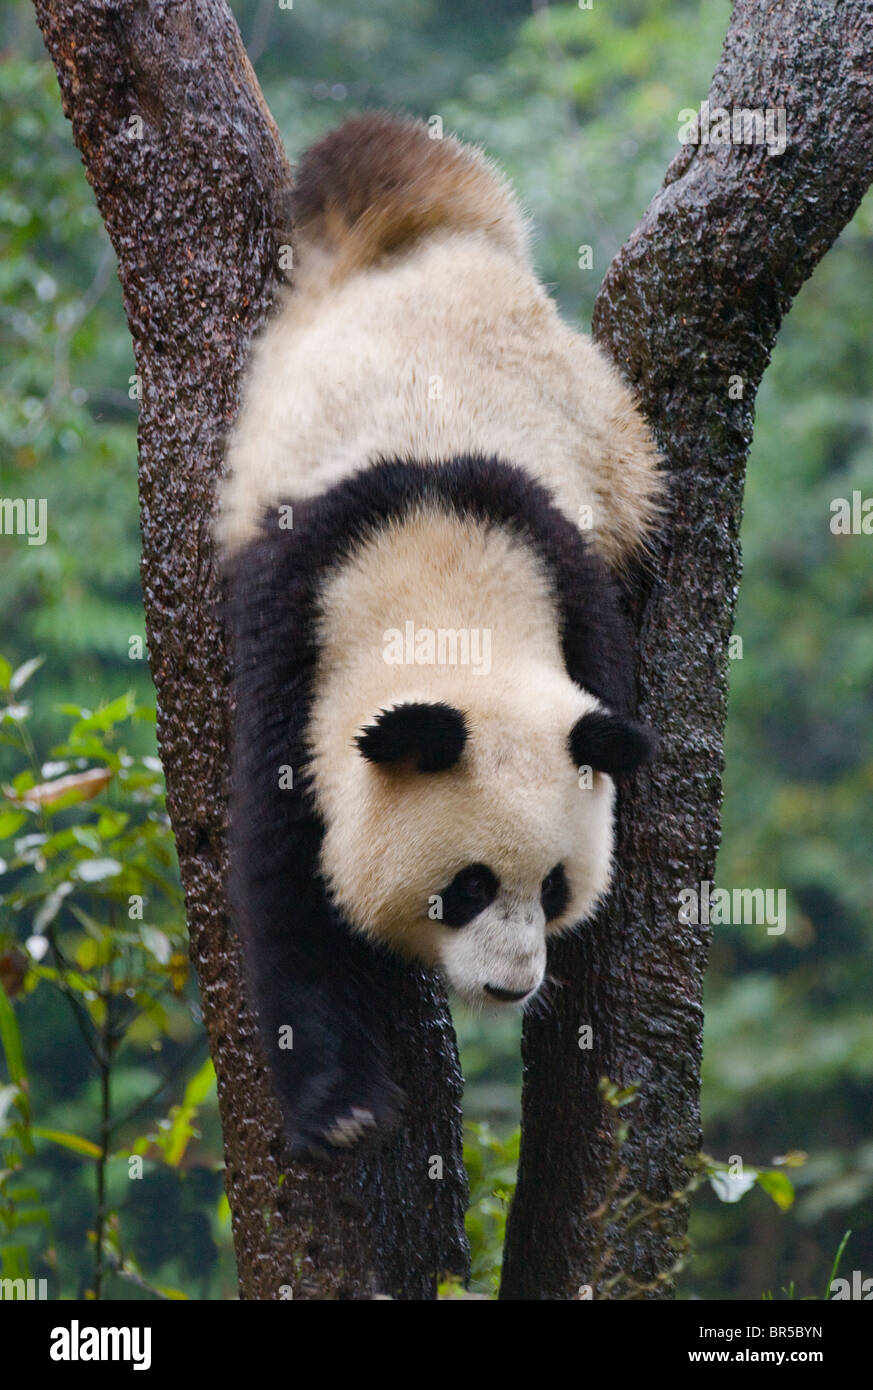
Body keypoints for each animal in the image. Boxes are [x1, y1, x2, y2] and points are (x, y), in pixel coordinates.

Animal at [218, 113, 662, 1155]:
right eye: (465, 886)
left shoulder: (570, 582)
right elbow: (284, 877)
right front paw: (341, 1108)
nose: (509, 985)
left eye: (554, 888)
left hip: (606, 438)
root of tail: (443, 238)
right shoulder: (292, 621)